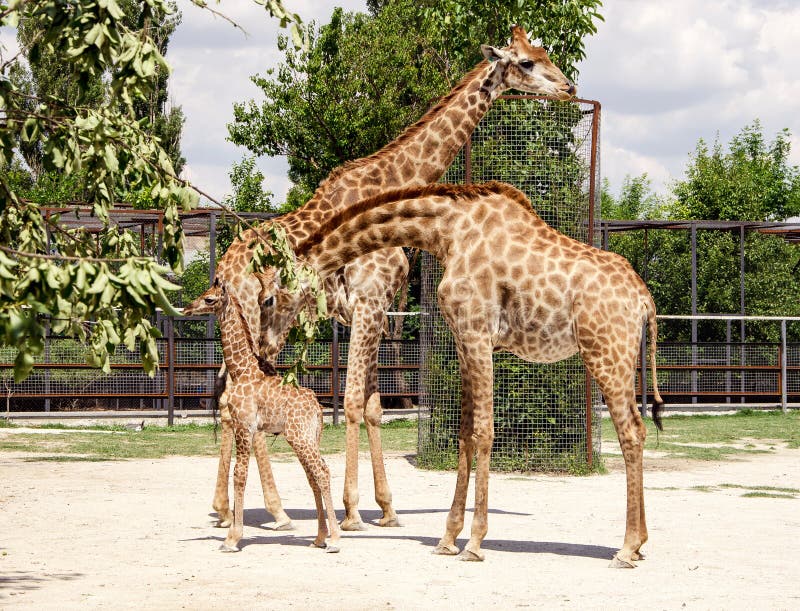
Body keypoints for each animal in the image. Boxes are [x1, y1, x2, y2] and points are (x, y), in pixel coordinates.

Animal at [184, 279, 340, 553]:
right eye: (203, 294)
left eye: (209, 299)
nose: (187, 309)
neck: (241, 369)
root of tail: (318, 408)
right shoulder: (249, 428)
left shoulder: (244, 426)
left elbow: (240, 475)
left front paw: (232, 539)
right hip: (306, 438)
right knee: (313, 476)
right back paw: (319, 538)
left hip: (300, 438)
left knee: (322, 471)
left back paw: (333, 540)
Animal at [211, 25, 576, 532]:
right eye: (525, 62)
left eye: (544, 52)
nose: (568, 87)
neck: (388, 184)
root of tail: (224, 265)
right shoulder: (366, 301)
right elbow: (348, 402)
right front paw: (350, 513)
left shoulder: (375, 309)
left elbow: (372, 405)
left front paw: (383, 508)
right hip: (254, 323)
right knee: (236, 395)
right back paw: (275, 511)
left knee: (231, 397)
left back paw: (227, 509)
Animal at [261, 181, 665, 568]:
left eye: (268, 298)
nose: (264, 348)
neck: (447, 233)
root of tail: (644, 299)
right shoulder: (464, 339)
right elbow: (464, 432)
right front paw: (448, 538)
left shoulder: (477, 333)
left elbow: (484, 432)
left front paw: (474, 542)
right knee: (639, 430)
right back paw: (640, 545)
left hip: (605, 353)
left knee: (630, 432)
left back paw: (626, 548)